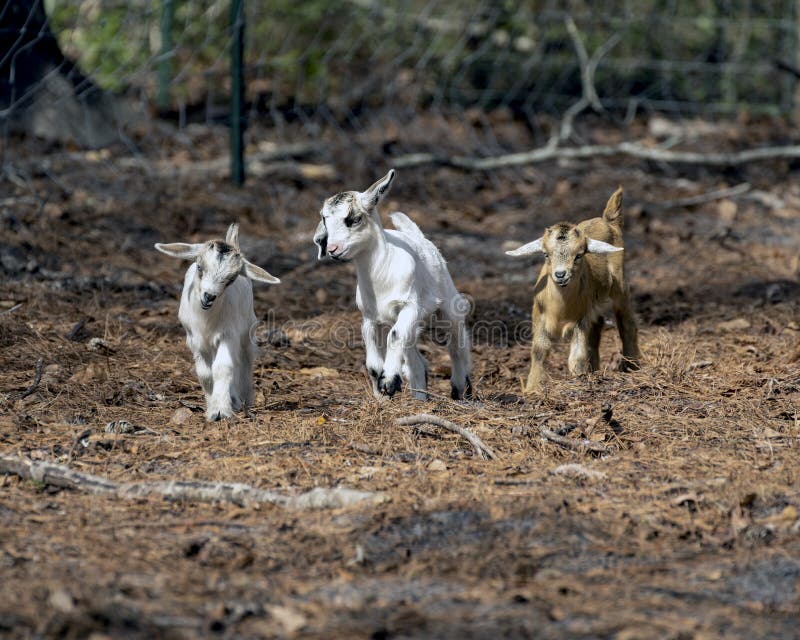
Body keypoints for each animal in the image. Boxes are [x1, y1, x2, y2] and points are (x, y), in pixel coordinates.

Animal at [155, 224, 280, 421]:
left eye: (231, 278)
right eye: (199, 267)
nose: (209, 297)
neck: (206, 318)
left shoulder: (228, 334)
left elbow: (223, 367)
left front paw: (221, 410)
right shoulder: (194, 339)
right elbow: (205, 373)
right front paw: (212, 406)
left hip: (246, 331)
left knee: (244, 361)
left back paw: (243, 400)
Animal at [313, 169, 473, 401]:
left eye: (354, 219)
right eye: (325, 220)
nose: (333, 249)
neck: (380, 275)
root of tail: (419, 237)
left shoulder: (410, 305)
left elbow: (394, 336)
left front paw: (388, 381)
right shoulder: (370, 319)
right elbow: (373, 364)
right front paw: (382, 395)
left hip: (448, 308)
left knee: (457, 345)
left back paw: (460, 388)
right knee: (417, 362)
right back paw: (420, 399)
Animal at [506, 187, 641, 393]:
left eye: (579, 255)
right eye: (545, 254)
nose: (561, 275)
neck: (561, 310)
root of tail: (608, 221)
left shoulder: (581, 319)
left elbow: (576, 357)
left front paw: (578, 380)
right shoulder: (539, 315)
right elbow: (539, 350)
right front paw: (532, 388)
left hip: (620, 285)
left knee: (626, 322)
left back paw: (631, 366)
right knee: (598, 326)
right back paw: (595, 370)